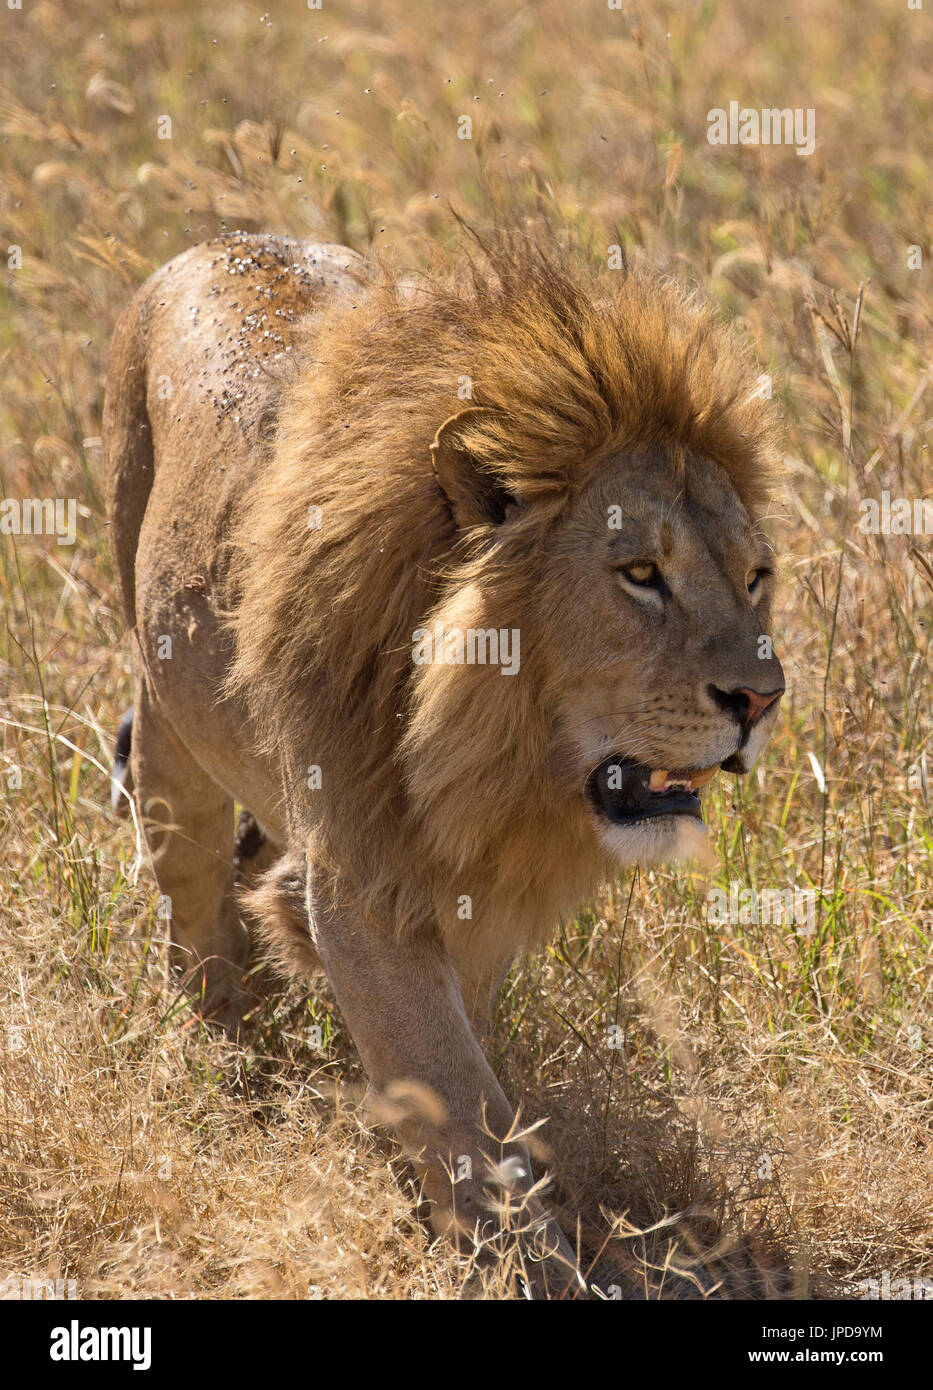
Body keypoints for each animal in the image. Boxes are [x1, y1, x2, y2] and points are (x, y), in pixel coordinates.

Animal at [103, 231, 784, 1295]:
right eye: (640, 575)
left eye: (755, 578)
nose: (761, 698)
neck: (499, 763)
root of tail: (217, 242)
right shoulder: (363, 890)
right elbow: (460, 1100)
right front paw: (527, 1267)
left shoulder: (471, 899)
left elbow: (467, 1083)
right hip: (169, 716)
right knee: (193, 912)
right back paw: (224, 1059)